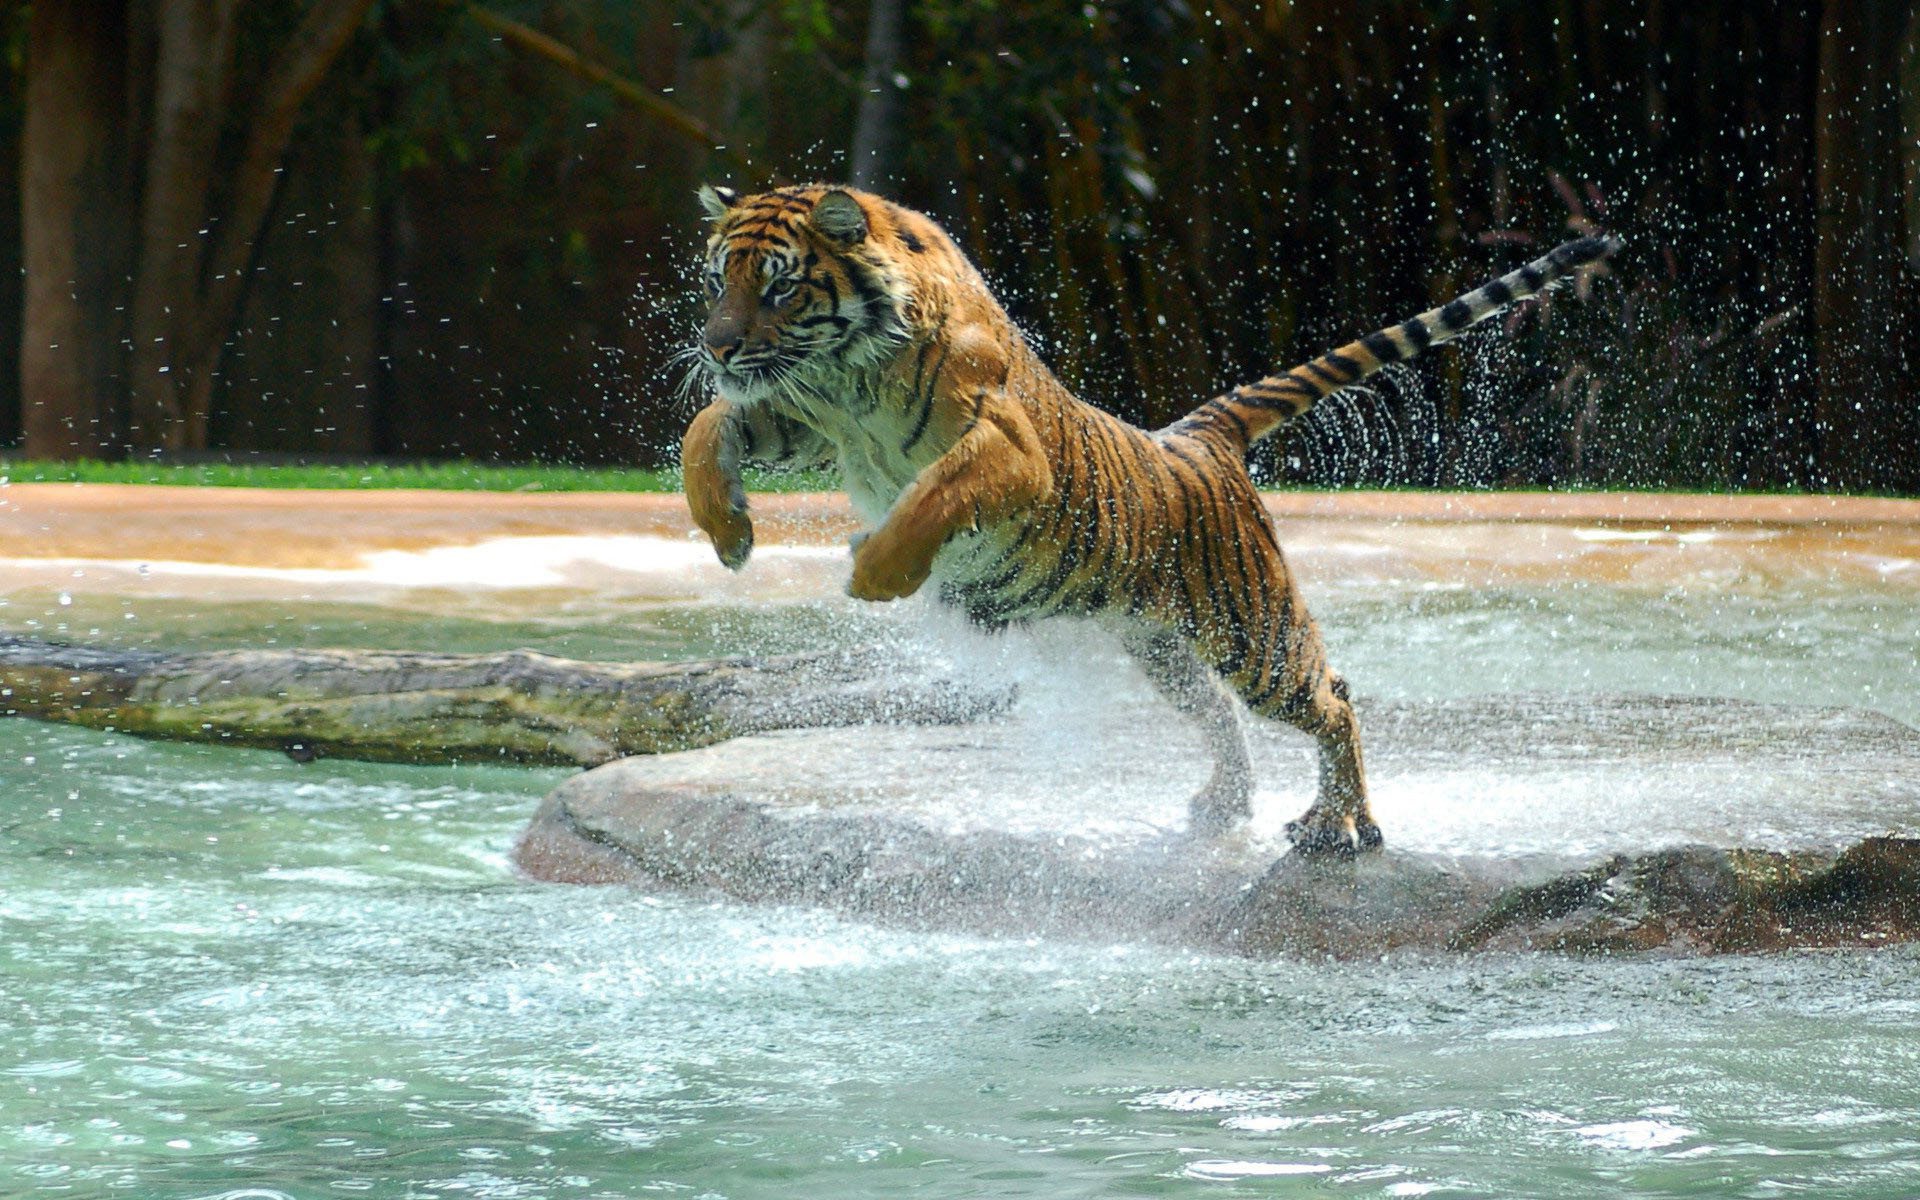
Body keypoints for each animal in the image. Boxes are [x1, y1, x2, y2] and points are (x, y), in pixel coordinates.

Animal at [680, 183, 1615, 856]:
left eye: (780, 285)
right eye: (719, 279)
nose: (715, 347)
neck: (848, 375)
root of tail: (1199, 436)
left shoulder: (1008, 449)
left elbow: (932, 497)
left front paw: (874, 571)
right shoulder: (798, 416)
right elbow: (707, 427)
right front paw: (729, 532)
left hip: (1252, 632)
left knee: (1333, 699)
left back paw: (1339, 826)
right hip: (1161, 645)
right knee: (1221, 716)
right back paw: (1222, 808)